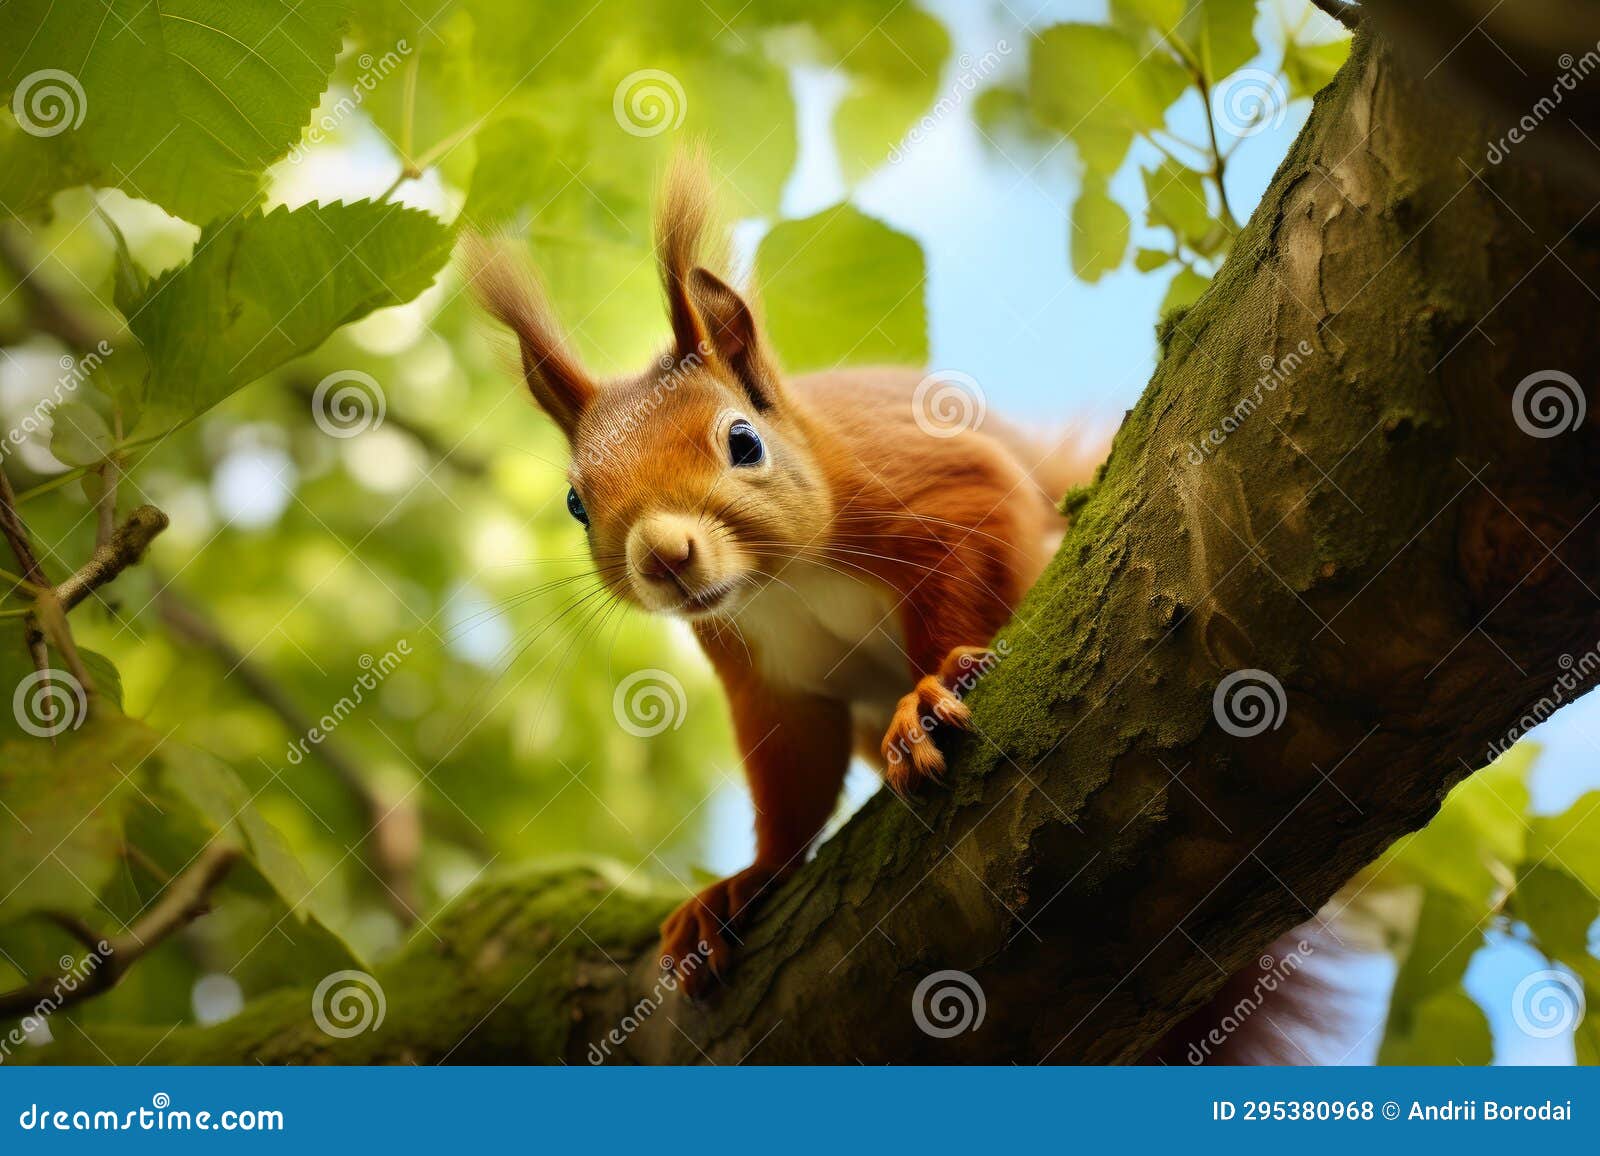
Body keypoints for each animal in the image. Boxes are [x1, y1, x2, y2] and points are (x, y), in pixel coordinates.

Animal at [466, 153, 1103, 997]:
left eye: (744, 441)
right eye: (575, 502)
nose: (663, 554)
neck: (780, 579)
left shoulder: (941, 485)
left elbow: (968, 577)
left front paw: (929, 694)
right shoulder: (762, 671)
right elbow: (793, 775)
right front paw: (745, 881)